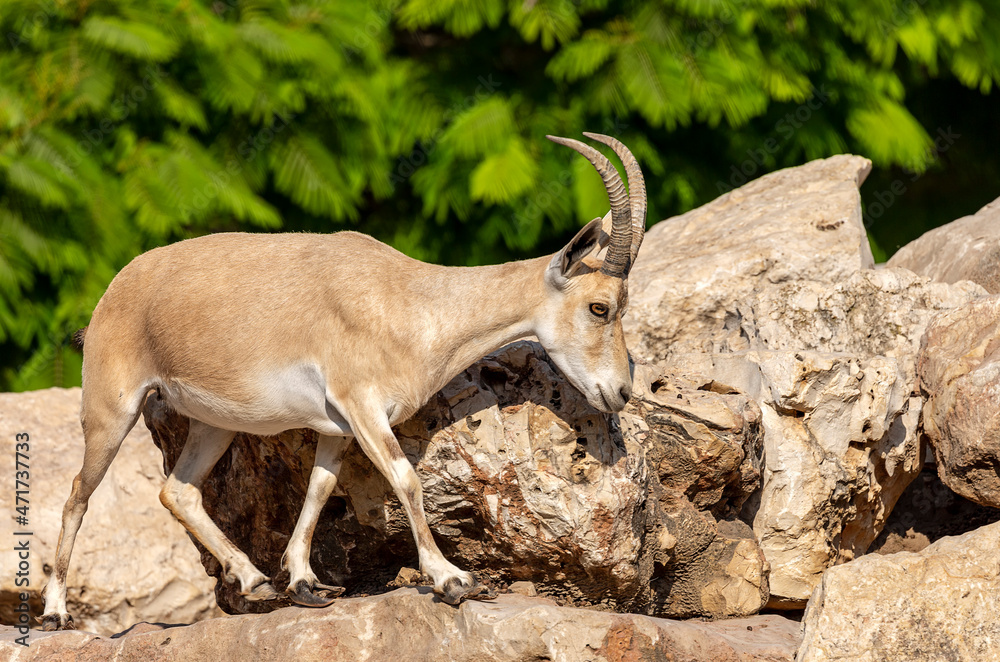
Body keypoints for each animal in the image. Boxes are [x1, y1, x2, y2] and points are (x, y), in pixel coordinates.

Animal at [40, 133, 647, 631]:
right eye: (600, 306)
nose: (619, 392)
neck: (411, 301)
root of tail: (113, 294)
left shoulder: (336, 426)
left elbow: (321, 486)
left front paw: (304, 584)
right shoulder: (362, 405)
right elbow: (405, 478)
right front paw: (452, 580)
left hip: (215, 423)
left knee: (178, 491)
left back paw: (255, 582)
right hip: (112, 410)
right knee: (76, 496)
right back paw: (55, 613)